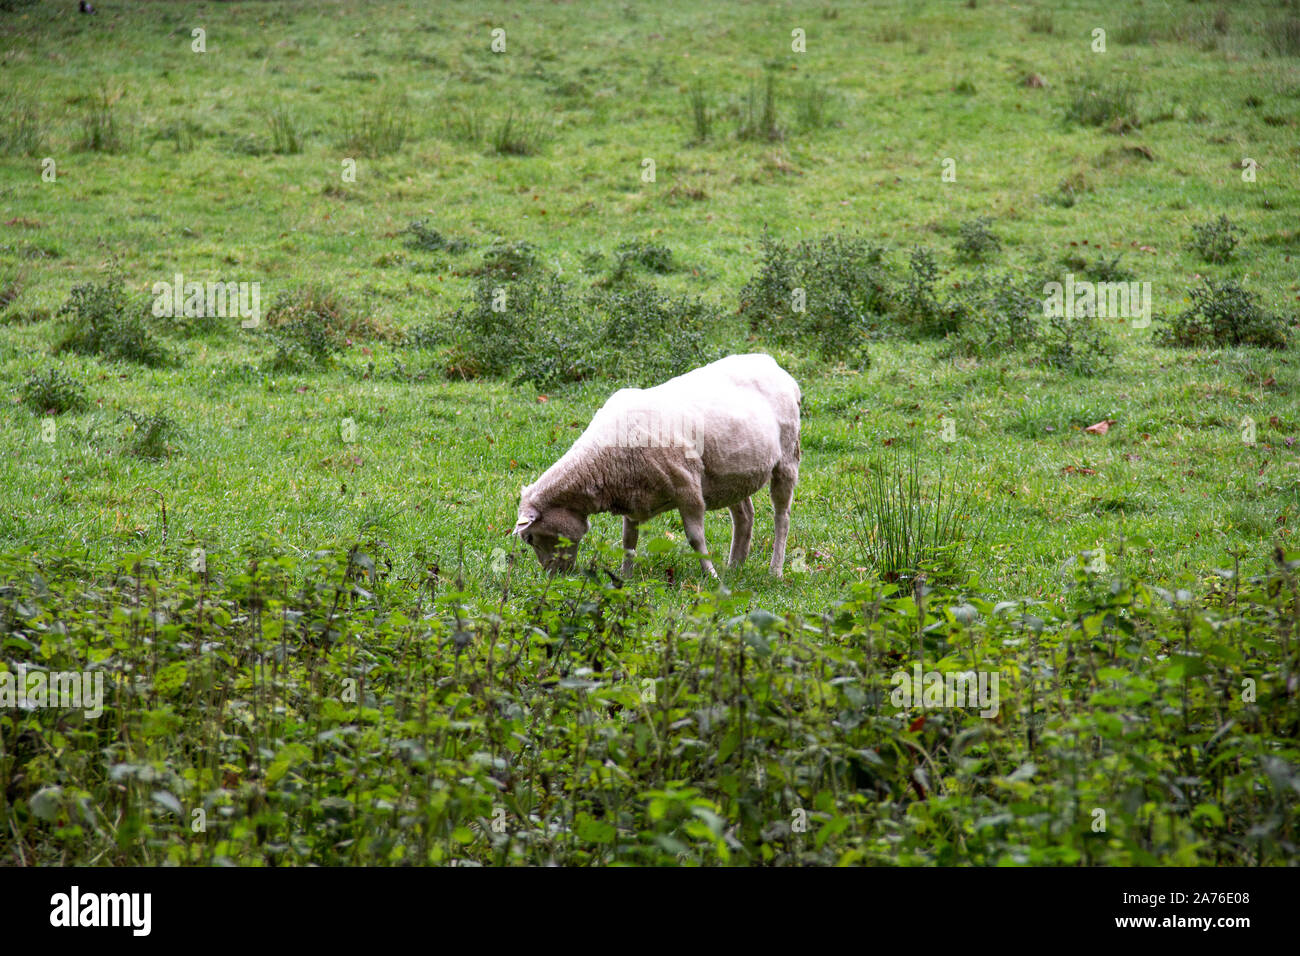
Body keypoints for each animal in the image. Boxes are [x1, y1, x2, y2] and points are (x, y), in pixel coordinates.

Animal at [513, 353, 801, 578]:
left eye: (530, 538)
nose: (552, 575)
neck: (599, 463)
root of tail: (771, 363)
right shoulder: (632, 498)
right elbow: (629, 541)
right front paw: (625, 577)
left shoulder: (687, 489)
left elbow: (695, 539)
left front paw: (711, 576)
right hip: (733, 474)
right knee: (745, 515)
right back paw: (735, 567)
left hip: (788, 458)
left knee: (782, 516)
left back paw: (775, 570)